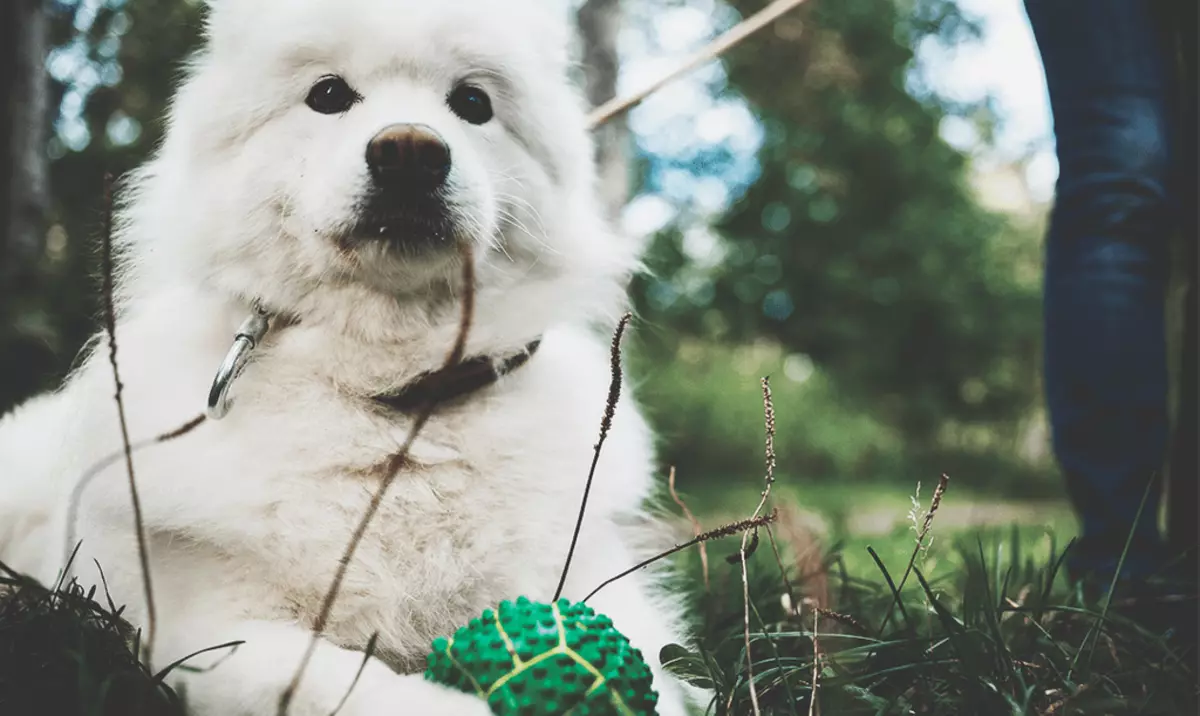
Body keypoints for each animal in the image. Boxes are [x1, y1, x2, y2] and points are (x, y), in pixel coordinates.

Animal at [2, 1, 696, 714]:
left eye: (473, 102)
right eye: (329, 95)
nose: (410, 151)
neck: (395, 407)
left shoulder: (587, 577)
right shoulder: (209, 637)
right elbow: (360, 684)